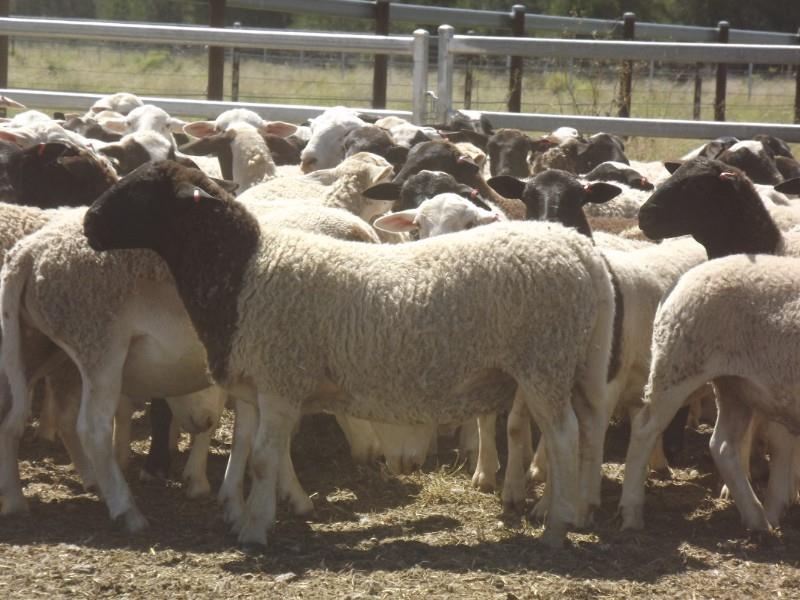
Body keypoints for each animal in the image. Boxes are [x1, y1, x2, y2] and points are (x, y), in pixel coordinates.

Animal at [82, 160, 616, 549]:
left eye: (143, 193)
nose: (88, 223)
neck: (244, 269)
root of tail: (575, 248)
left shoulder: (281, 378)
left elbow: (263, 459)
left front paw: (254, 532)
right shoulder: (260, 384)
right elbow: (258, 455)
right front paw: (255, 515)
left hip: (545, 361)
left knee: (564, 437)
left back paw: (555, 528)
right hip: (574, 363)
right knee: (584, 430)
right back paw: (575, 510)